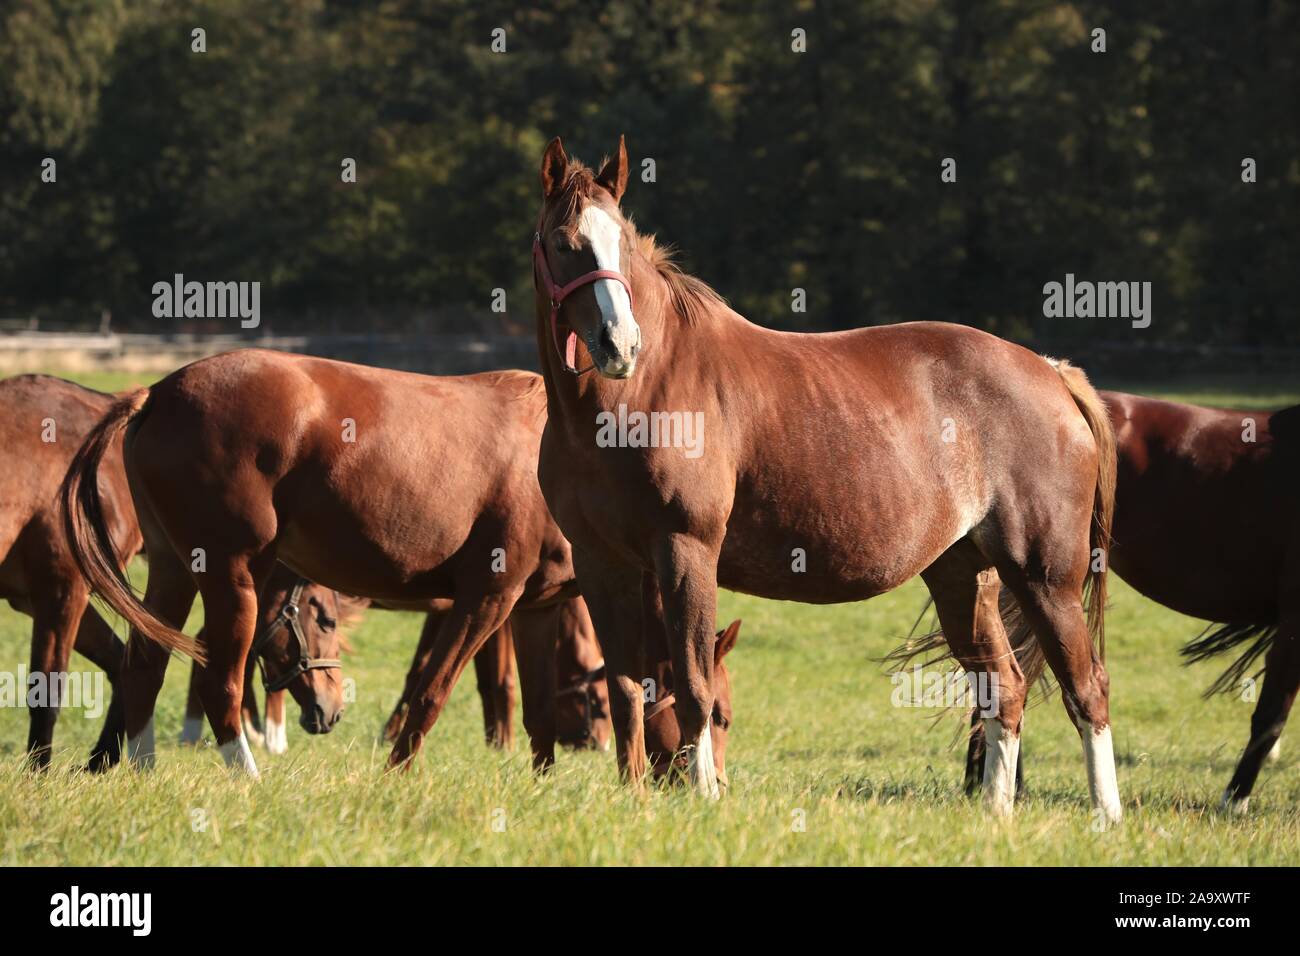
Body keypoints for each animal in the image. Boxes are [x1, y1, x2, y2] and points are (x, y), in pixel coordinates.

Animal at [529, 136, 1120, 819]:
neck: (639, 394)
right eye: (564, 242)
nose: (619, 344)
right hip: (963, 574)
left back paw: (1106, 817)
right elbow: (627, 688)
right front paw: (634, 797)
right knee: (1004, 686)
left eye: (621, 241)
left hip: (1046, 577)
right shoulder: (601, 562)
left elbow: (692, 682)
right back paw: (997, 813)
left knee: (1087, 688)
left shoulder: (686, 551)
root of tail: (1052, 373)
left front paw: (704, 795)